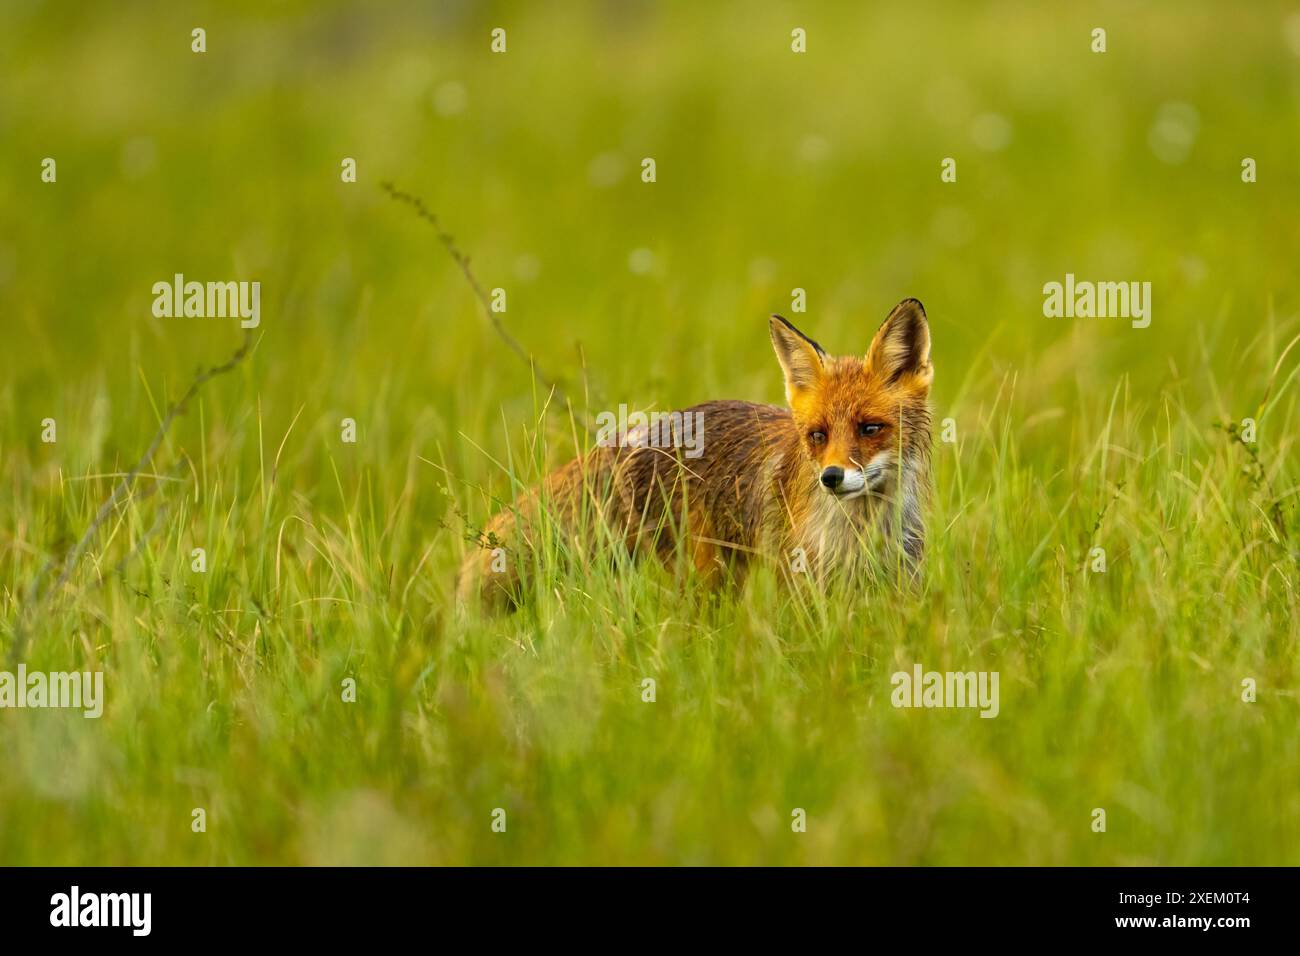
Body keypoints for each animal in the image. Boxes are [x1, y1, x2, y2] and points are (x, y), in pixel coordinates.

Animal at [457, 297, 934, 608]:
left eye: (870, 429)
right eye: (817, 435)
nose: (831, 477)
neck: (860, 530)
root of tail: (660, 425)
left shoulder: (899, 578)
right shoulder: (798, 576)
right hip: (706, 572)